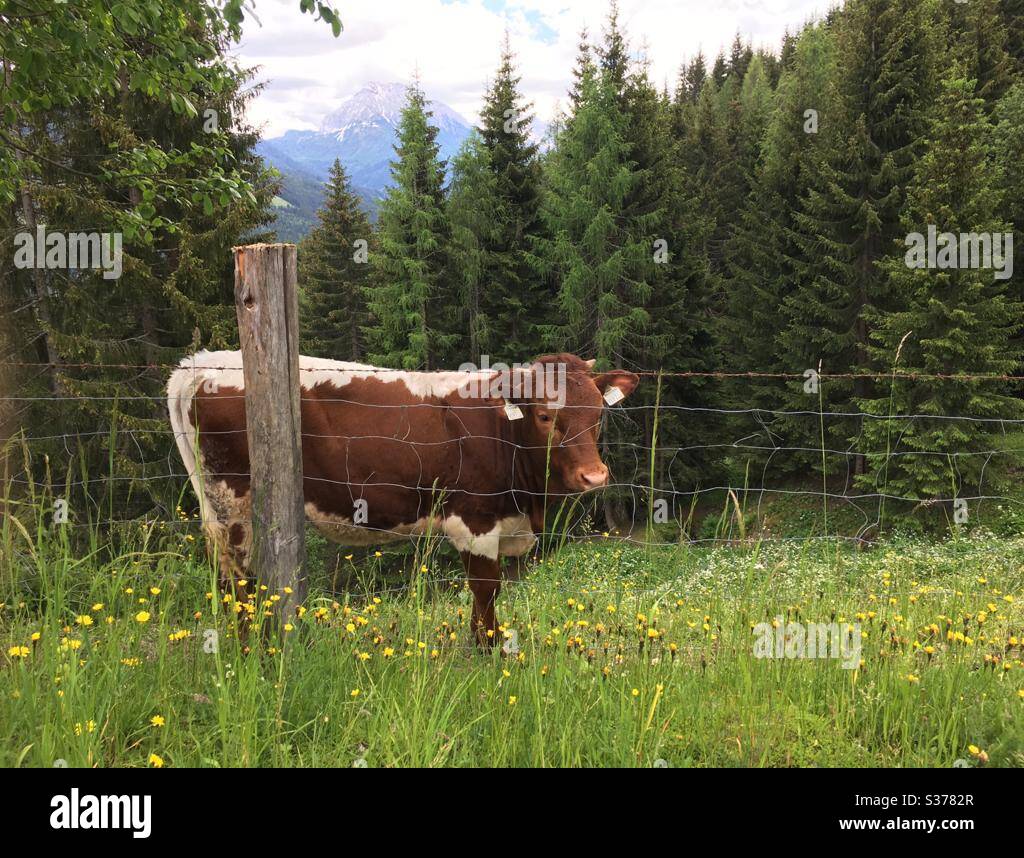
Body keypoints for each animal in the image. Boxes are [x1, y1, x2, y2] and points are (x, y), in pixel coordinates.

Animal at [167, 350, 638, 647]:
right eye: (544, 416)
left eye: (598, 413)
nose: (594, 476)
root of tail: (199, 365)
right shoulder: (473, 520)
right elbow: (486, 592)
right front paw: (486, 653)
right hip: (233, 503)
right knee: (238, 582)